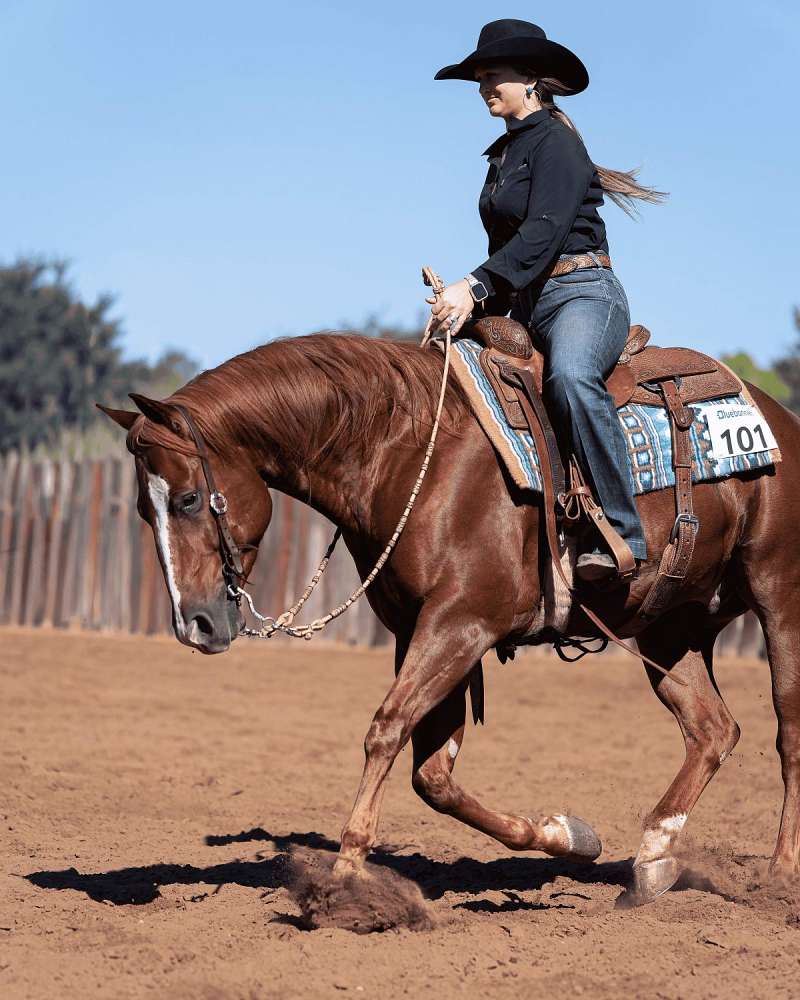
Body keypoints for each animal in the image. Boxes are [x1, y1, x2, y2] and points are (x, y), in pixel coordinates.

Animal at [99, 331, 800, 905]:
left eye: (190, 499)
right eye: (141, 508)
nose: (194, 624)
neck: (408, 454)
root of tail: (779, 421)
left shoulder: (461, 626)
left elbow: (386, 731)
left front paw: (344, 884)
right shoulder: (423, 630)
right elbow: (432, 775)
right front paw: (568, 834)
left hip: (779, 598)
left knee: (786, 731)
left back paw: (779, 875)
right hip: (670, 630)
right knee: (713, 729)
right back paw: (652, 860)